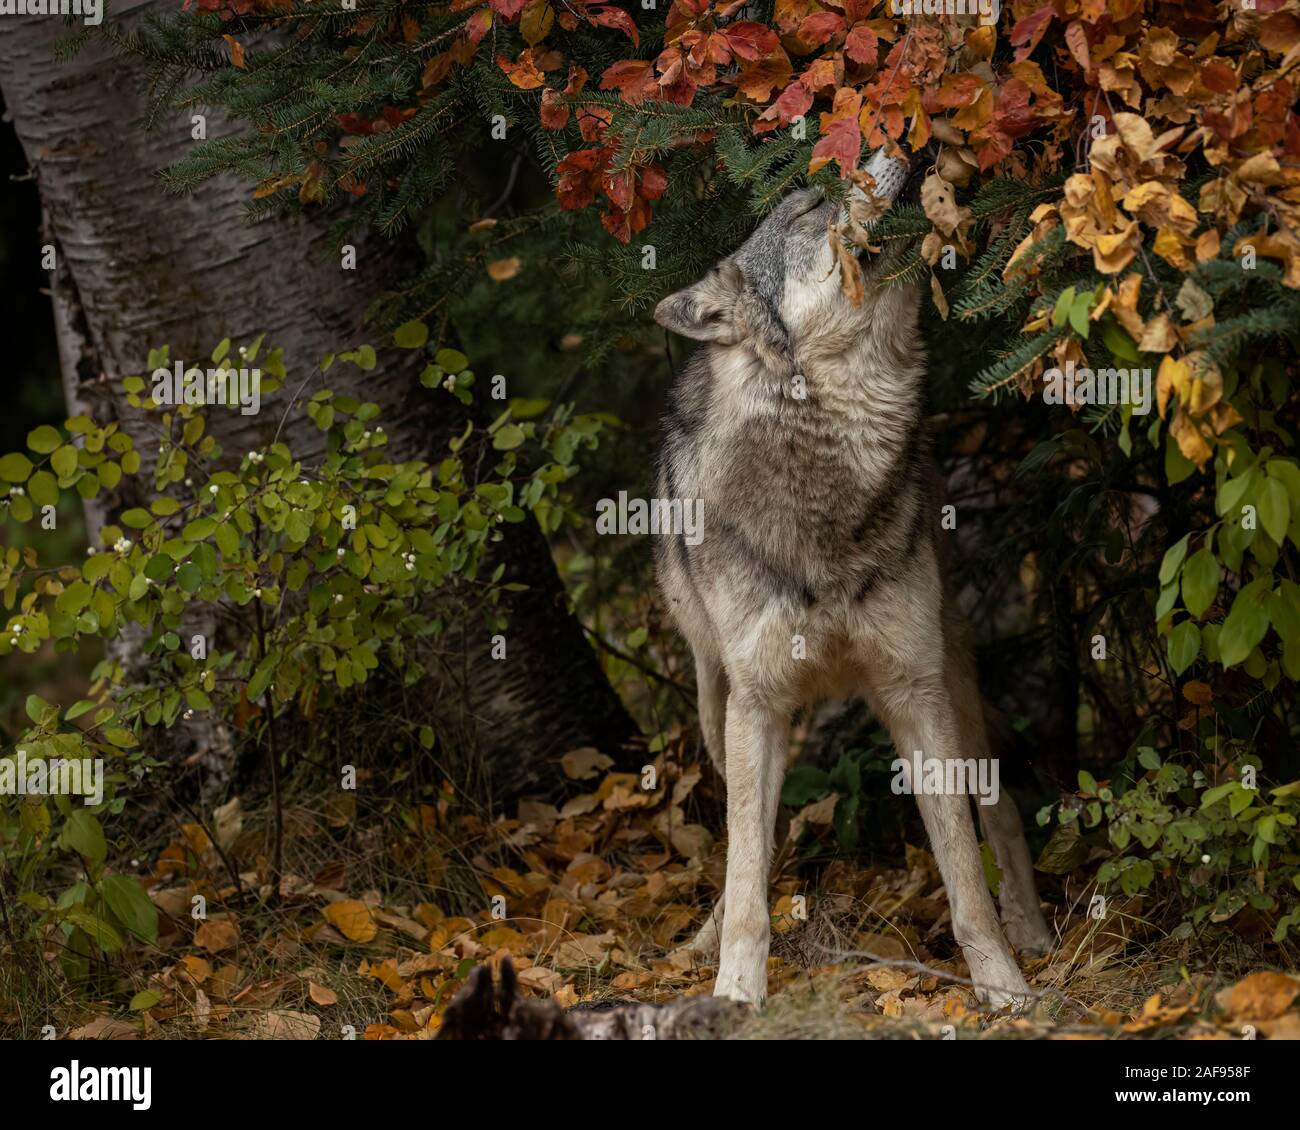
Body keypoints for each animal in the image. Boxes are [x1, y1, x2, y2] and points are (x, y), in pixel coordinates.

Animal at [653, 148, 1054, 1007]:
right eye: (809, 208)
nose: (893, 150)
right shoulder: (757, 705)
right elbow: (747, 874)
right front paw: (735, 994)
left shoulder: (916, 692)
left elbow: (965, 876)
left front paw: (1003, 989)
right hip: (714, 700)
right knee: (744, 841)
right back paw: (701, 939)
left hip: (954, 679)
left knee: (1001, 811)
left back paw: (1034, 933)